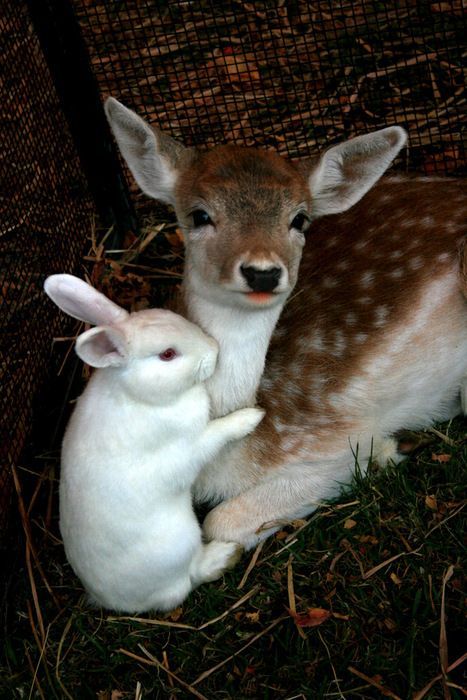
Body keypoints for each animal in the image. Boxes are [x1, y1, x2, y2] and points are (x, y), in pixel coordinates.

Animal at [43, 274, 264, 612]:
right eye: (167, 354)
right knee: (191, 577)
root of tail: (109, 600)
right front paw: (250, 418)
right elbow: (219, 432)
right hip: (182, 543)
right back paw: (225, 554)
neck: (139, 395)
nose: (214, 350)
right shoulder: (192, 444)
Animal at [105, 97, 467, 549]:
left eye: (300, 219)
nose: (262, 271)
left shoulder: (331, 440)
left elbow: (218, 522)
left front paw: (387, 450)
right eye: (200, 215)